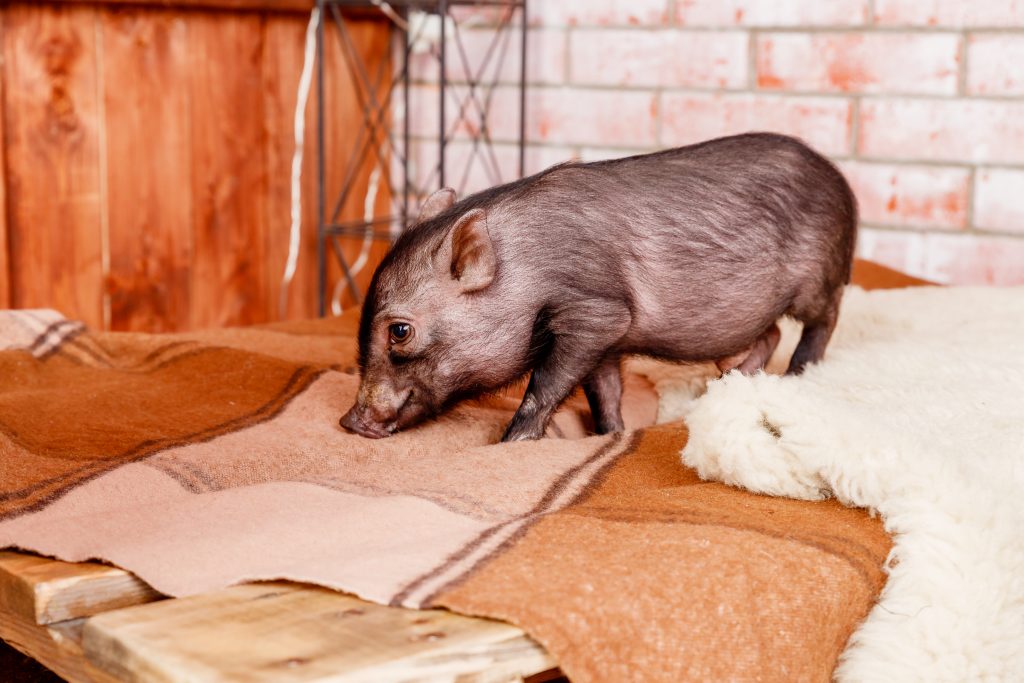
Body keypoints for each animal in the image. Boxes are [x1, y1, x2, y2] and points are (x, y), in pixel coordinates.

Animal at [340, 132, 857, 442]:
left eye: (400, 331)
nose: (348, 422)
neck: (528, 271)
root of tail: (841, 182)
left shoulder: (596, 313)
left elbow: (546, 384)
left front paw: (511, 442)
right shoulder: (609, 341)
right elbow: (603, 391)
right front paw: (609, 436)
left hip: (820, 277)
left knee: (825, 319)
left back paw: (798, 374)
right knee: (770, 334)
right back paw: (726, 386)